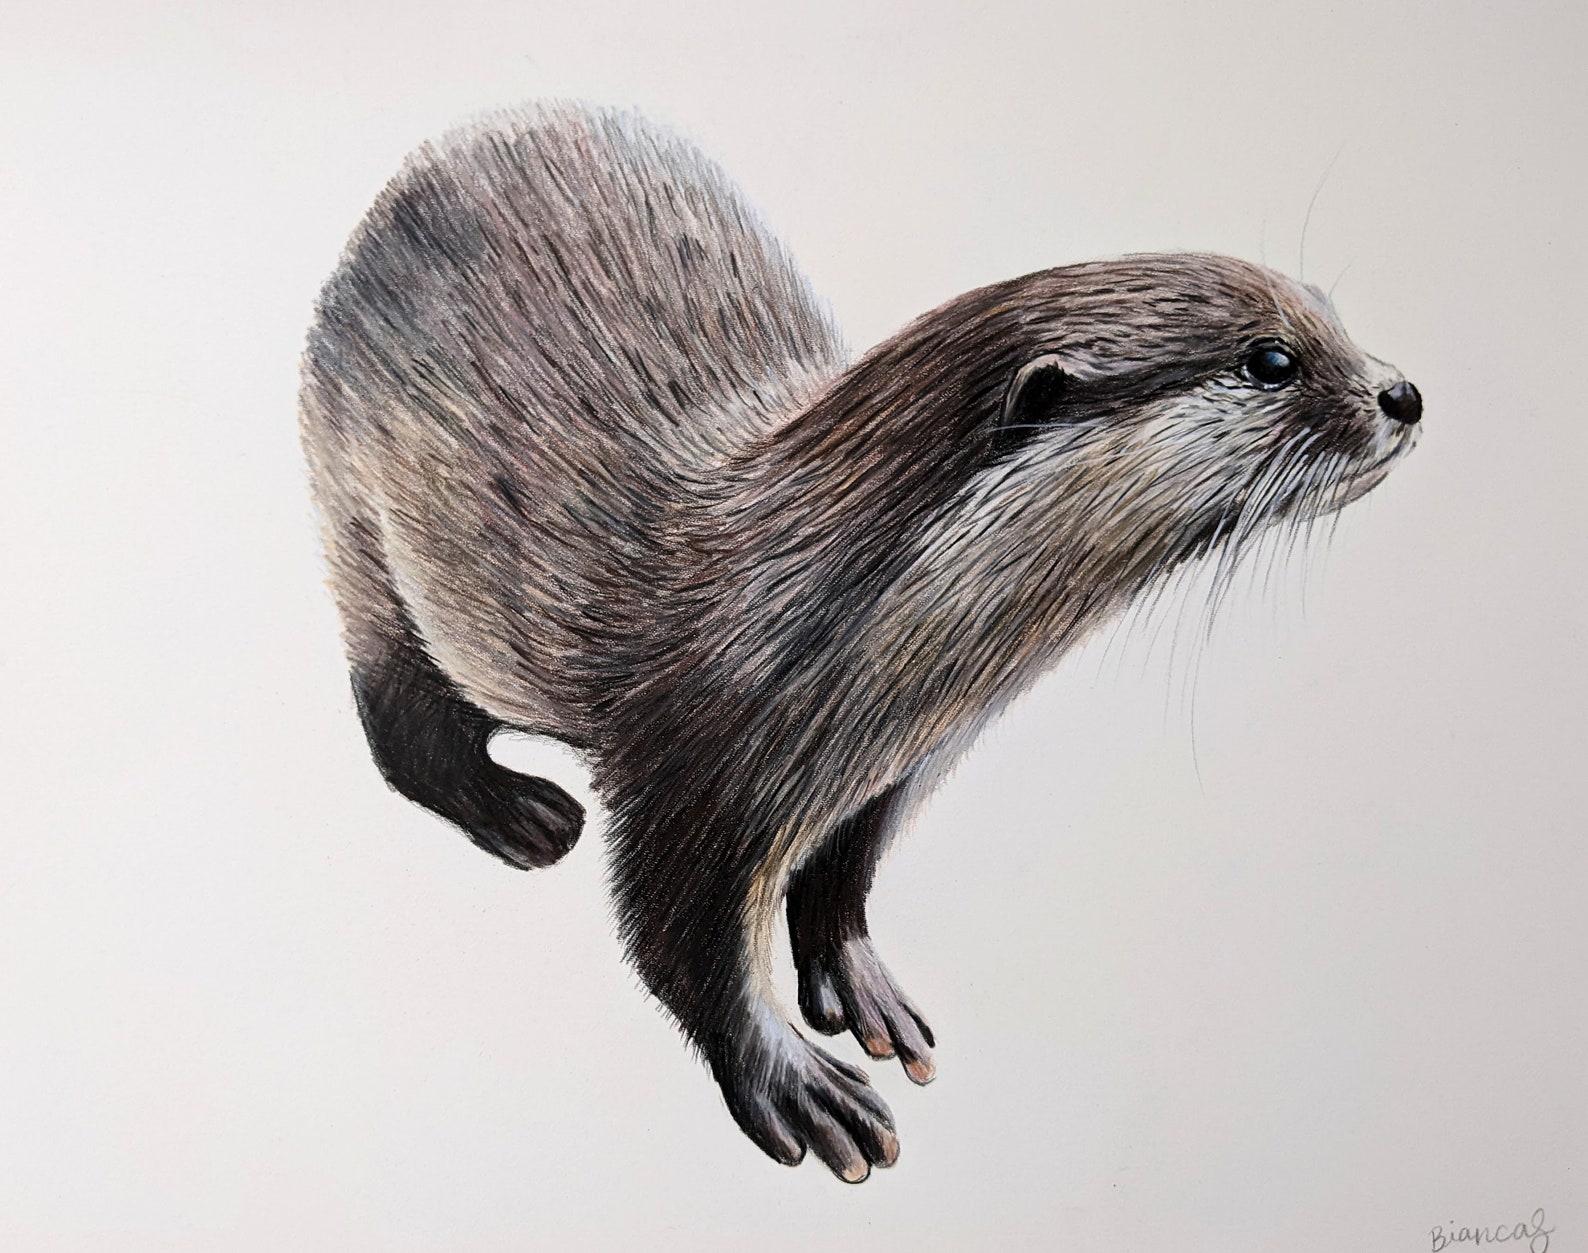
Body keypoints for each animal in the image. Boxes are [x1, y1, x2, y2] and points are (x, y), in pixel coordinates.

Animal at [299, 102, 1421, 1182]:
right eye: (1269, 360)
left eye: (1329, 310)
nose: (1401, 393)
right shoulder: (691, 768)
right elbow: (682, 945)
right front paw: (794, 1083)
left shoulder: (902, 767)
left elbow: (843, 873)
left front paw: (856, 981)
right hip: (359, 516)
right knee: (395, 706)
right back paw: (517, 810)